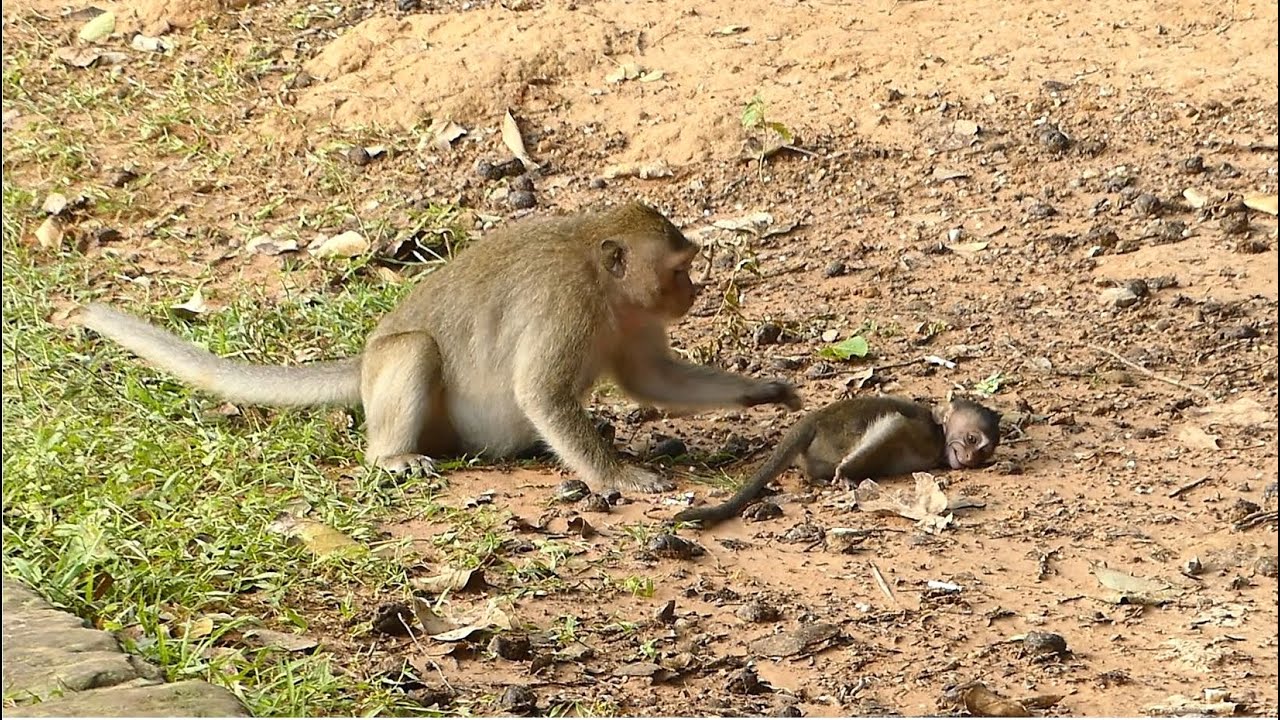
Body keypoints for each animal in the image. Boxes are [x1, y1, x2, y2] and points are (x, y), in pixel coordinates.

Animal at [73, 201, 802, 494]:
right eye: (680, 268)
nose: (693, 290)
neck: (602, 283)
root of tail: (362, 364)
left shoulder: (631, 321)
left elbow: (654, 380)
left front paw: (761, 390)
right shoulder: (566, 304)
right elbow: (542, 391)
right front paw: (619, 474)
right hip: (401, 379)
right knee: (417, 350)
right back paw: (392, 456)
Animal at [673, 395, 1000, 527]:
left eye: (984, 451)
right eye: (972, 439)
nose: (970, 457)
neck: (938, 433)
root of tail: (811, 421)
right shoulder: (918, 431)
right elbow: (893, 425)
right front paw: (845, 473)